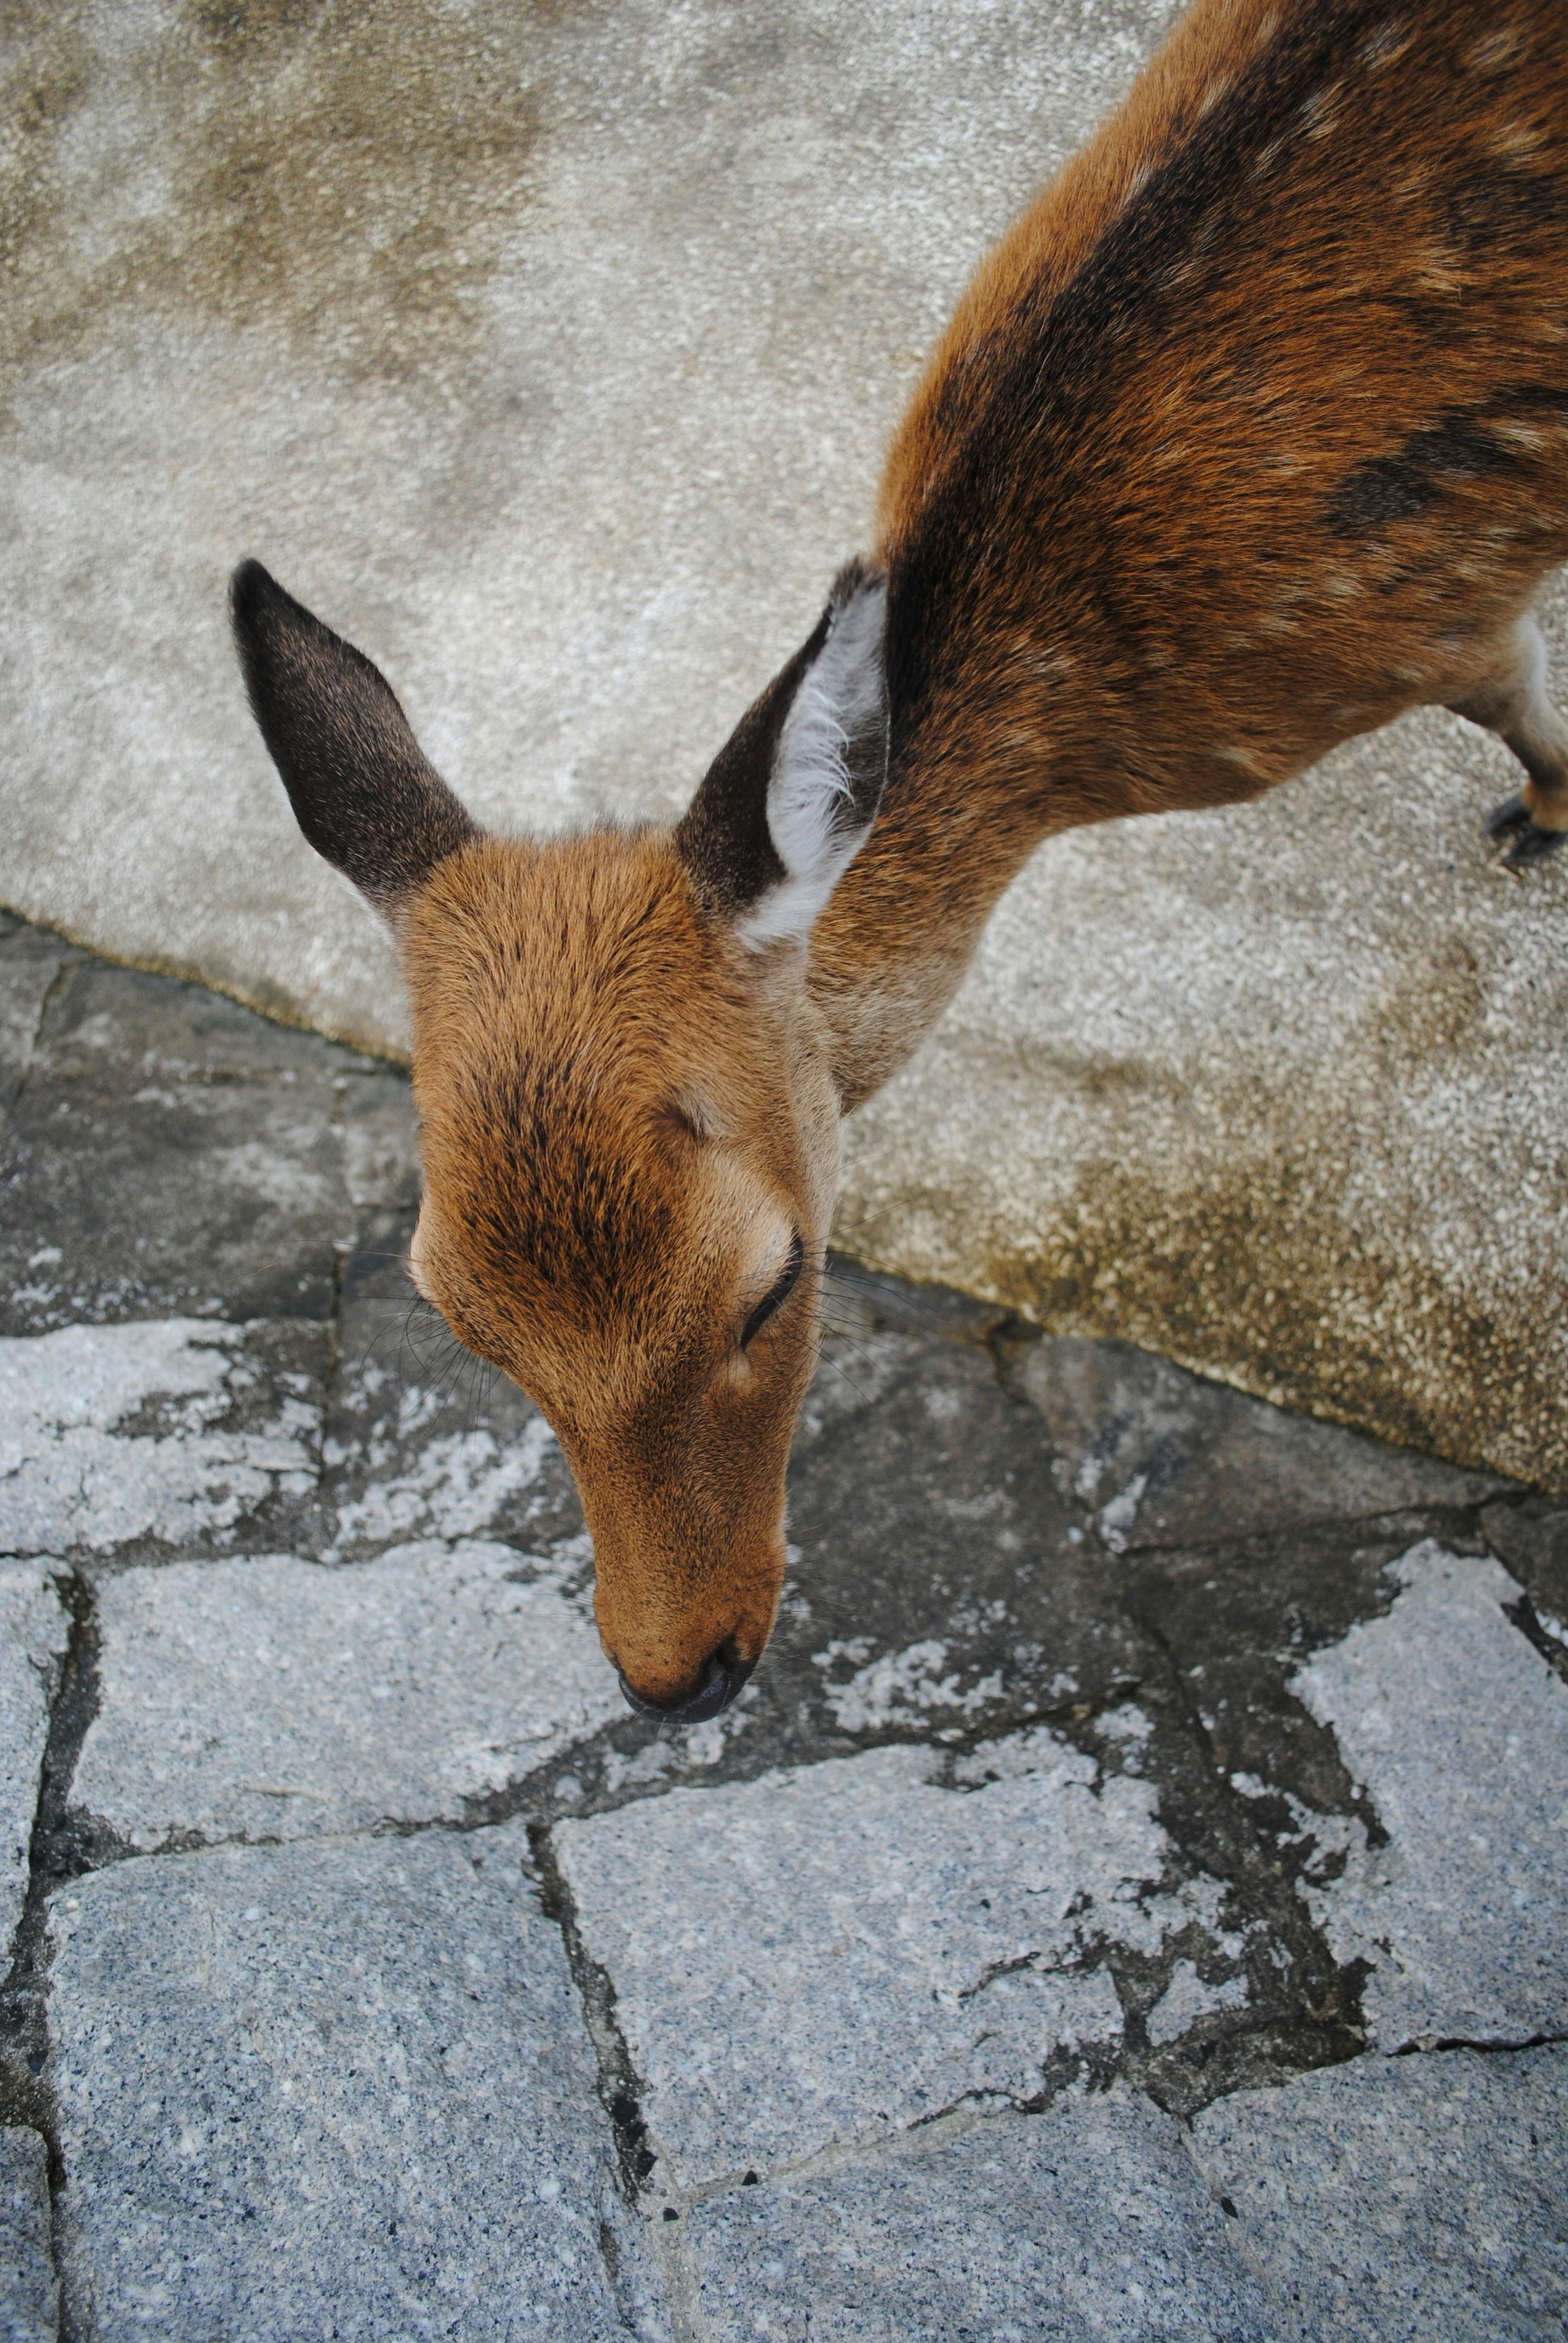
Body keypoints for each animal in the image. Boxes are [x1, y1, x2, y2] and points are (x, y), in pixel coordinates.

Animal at [232, 0, 1568, 1724]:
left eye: (775, 1281)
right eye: (455, 1316)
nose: (675, 1675)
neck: (1113, 744)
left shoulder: (1440, 609)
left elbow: (1519, 694)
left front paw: (1543, 810)